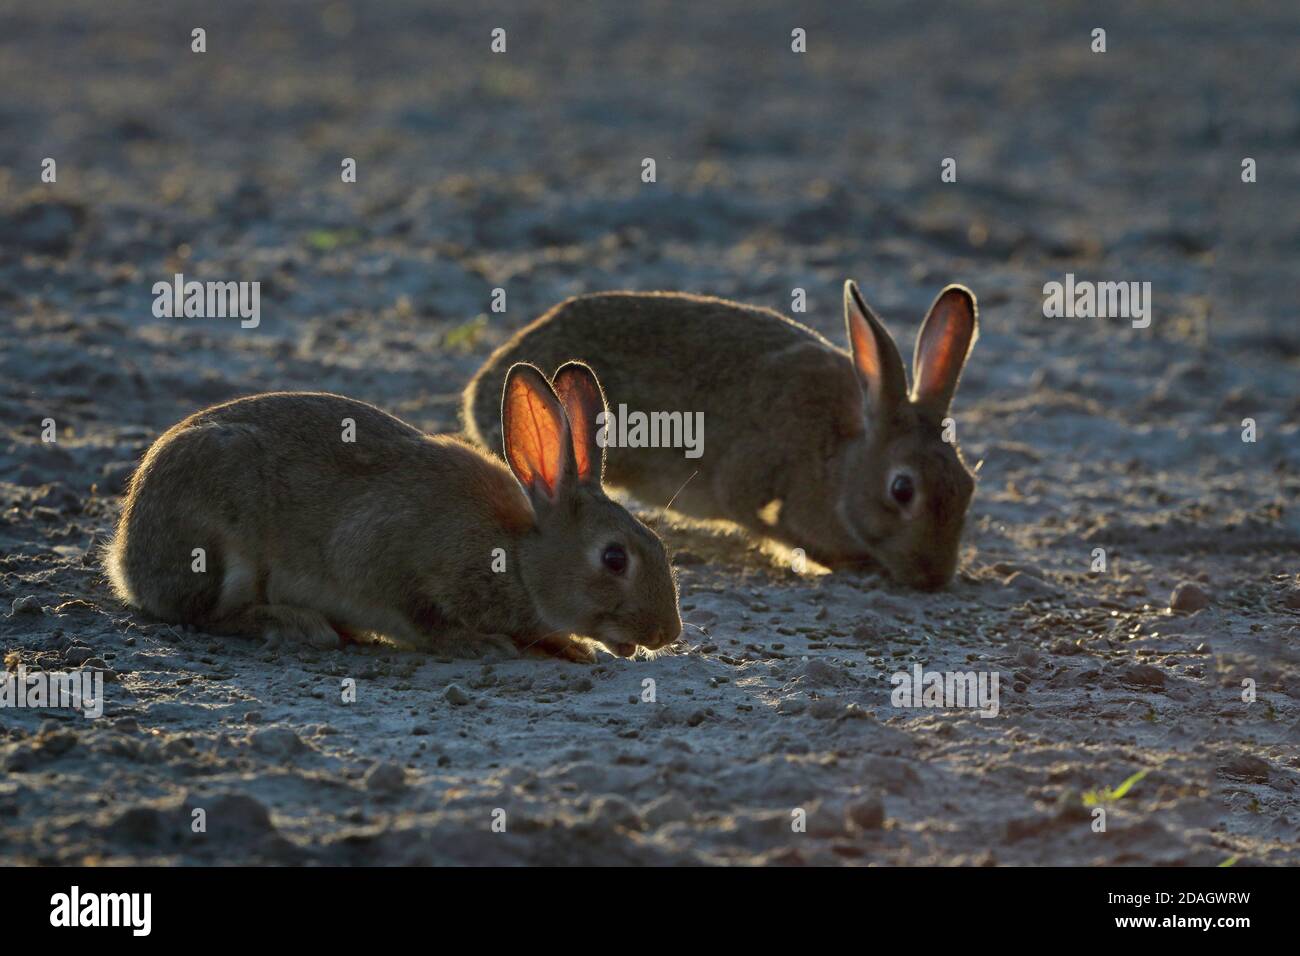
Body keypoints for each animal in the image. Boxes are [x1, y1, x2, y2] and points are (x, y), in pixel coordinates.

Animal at [105, 362, 683, 660]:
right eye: (614, 559)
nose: (669, 634)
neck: (517, 557)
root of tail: (126, 559)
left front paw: (570, 646)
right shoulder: (386, 561)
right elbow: (423, 618)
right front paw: (479, 642)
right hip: (224, 545)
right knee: (206, 615)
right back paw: (300, 625)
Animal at [463, 281, 978, 589]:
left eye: (969, 486)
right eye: (902, 489)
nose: (934, 575)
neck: (843, 461)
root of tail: (484, 382)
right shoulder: (754, 488)